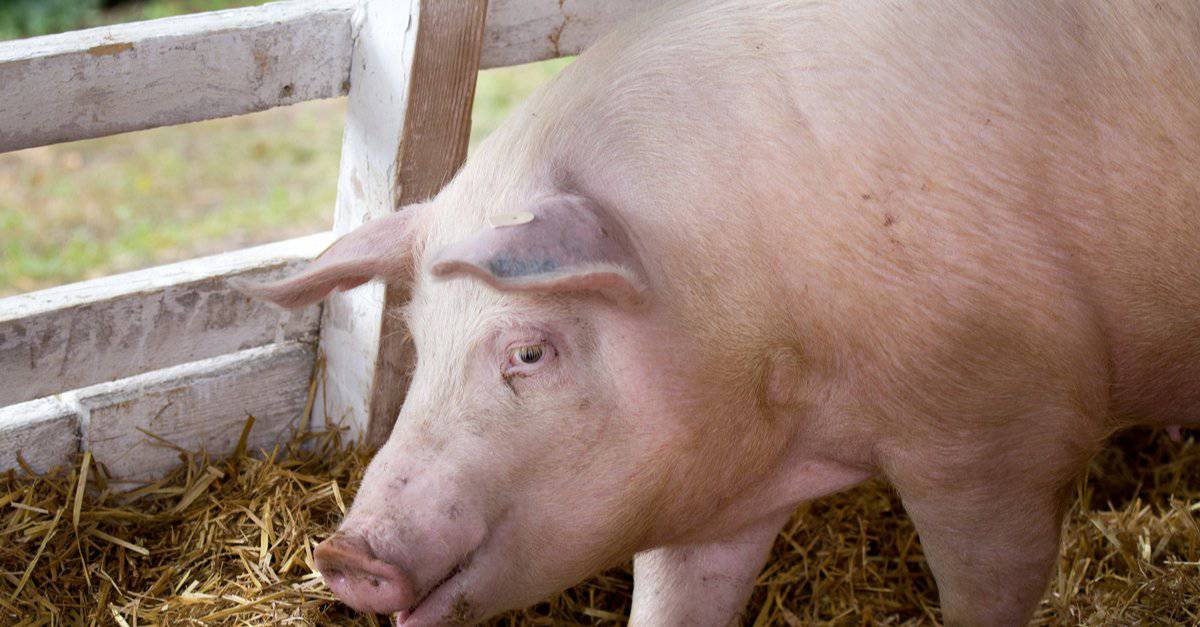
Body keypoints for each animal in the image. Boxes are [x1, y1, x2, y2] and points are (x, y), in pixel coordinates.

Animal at [237, 0, 1200, 625]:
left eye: (530, 352)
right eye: (418, 342)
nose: (345, 554)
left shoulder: (1003, 431)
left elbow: (986, 589)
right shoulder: (707, 489)